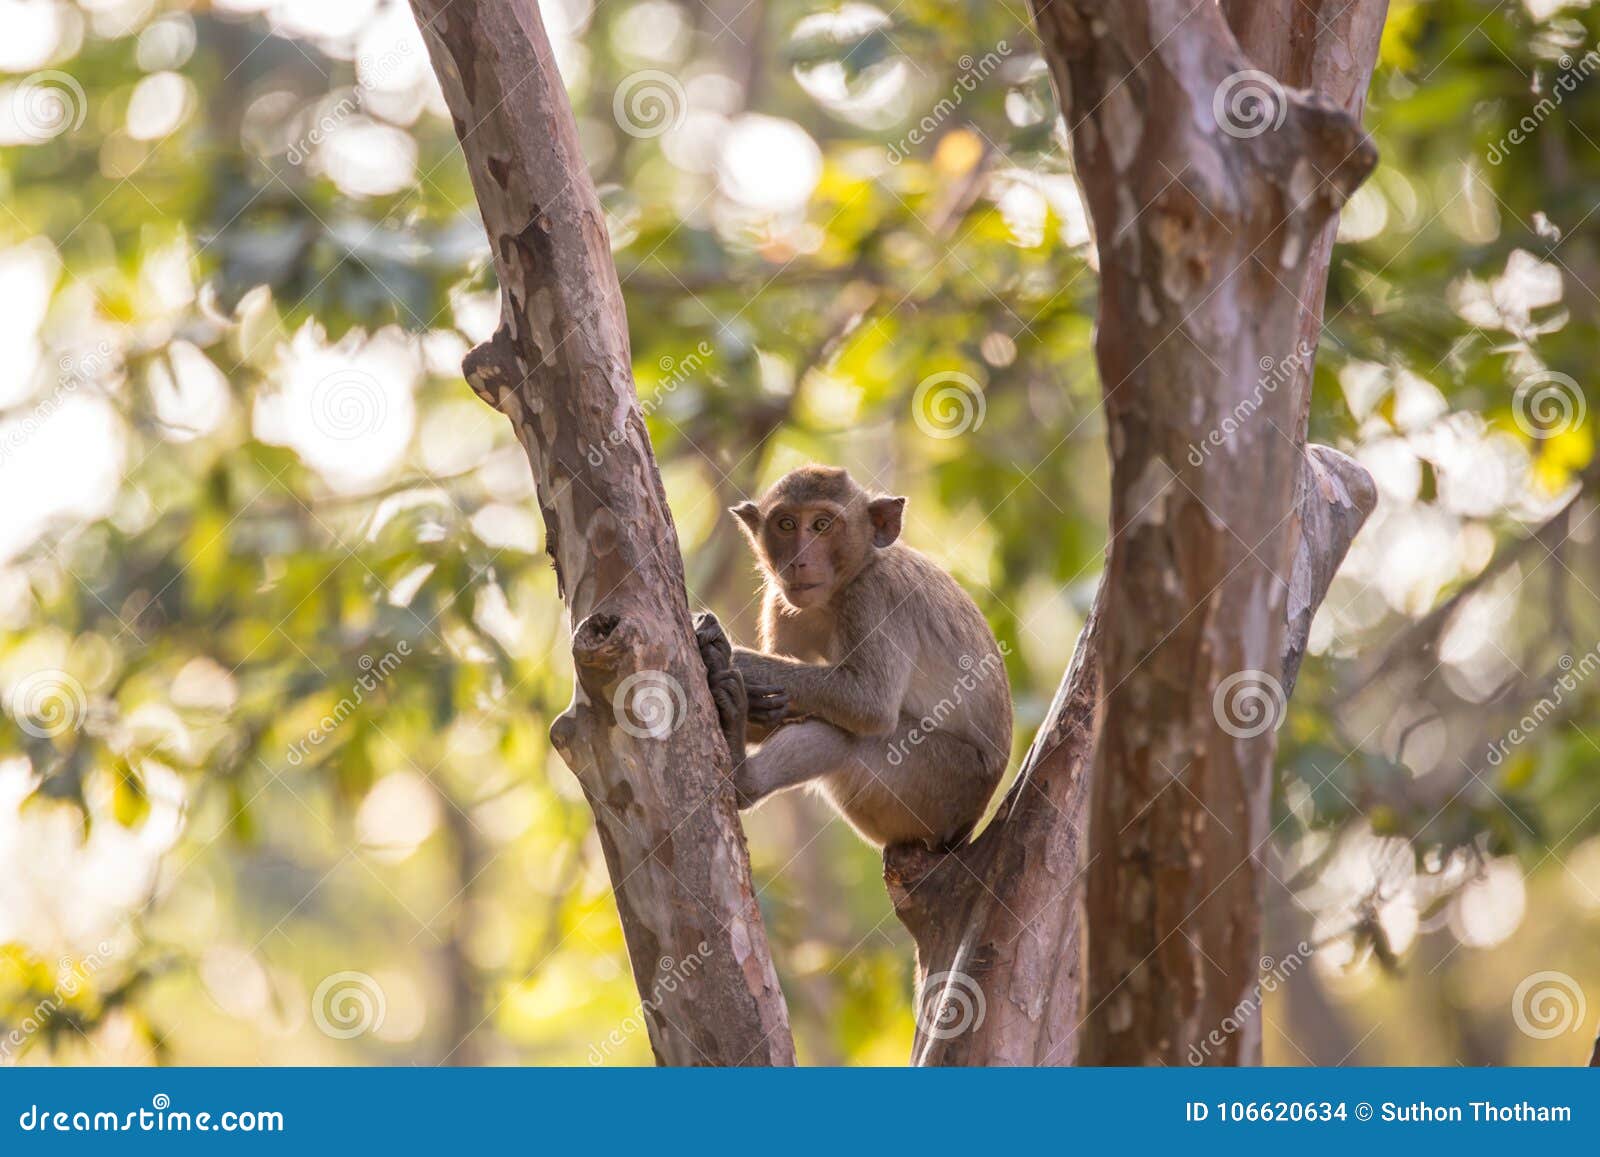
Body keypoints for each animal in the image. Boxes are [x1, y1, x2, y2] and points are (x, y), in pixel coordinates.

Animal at [694, 464, 1012, 850]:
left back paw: (743, 778)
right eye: (786, 524)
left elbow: (870, 703)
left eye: (821, 525)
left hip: (942, 784)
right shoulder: (780, 602)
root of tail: (964, 830)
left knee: (846, 737)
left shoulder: (875, 596)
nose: (799, 561)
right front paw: (750, 696)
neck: (844, 585)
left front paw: (730, 655)